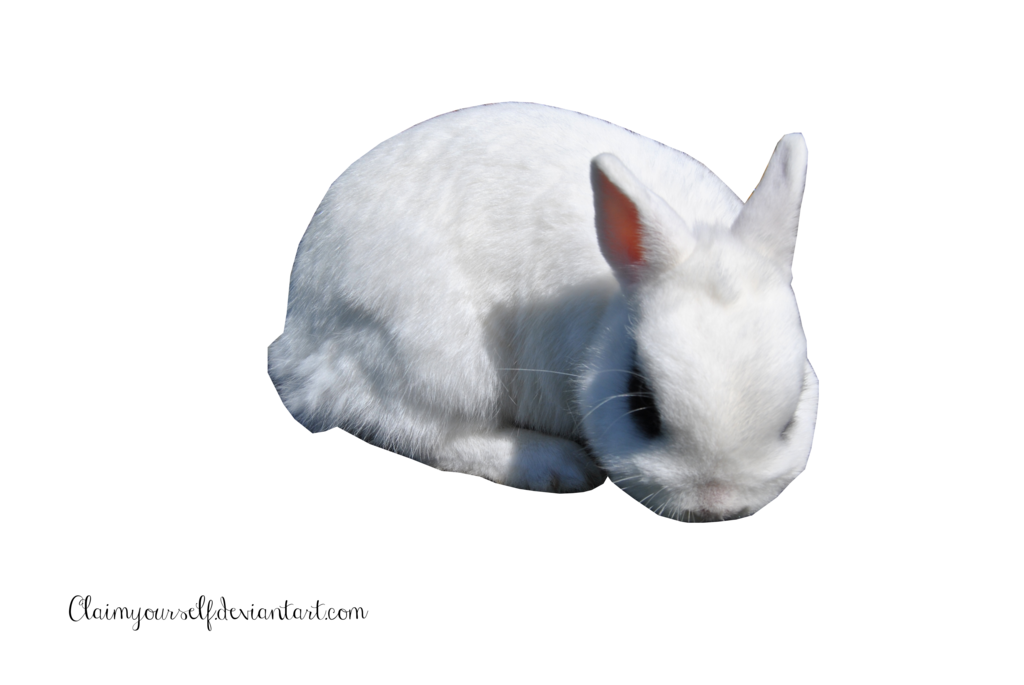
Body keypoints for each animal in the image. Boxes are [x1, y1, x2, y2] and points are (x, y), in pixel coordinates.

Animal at [267, 101, 819, 523]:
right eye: (641, 404)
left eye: (792, 414)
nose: (715, 505)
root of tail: (298, 337)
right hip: (432, 359)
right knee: (410, 427)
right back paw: (555, 466)